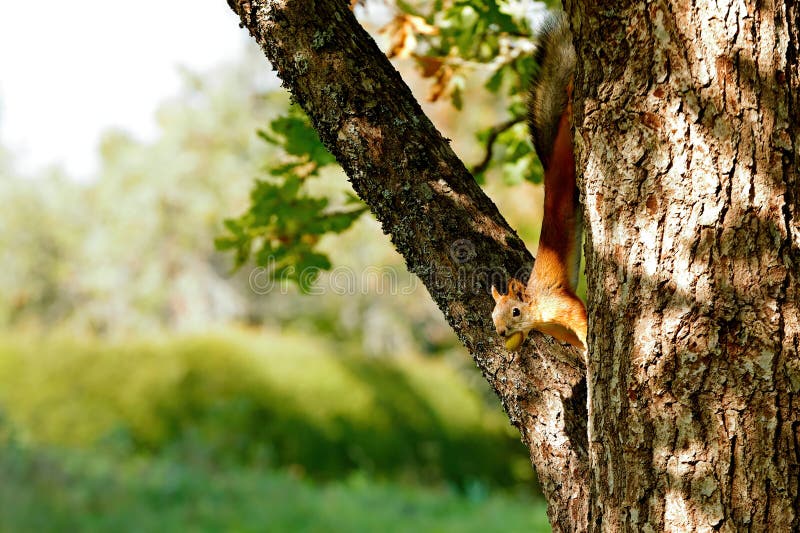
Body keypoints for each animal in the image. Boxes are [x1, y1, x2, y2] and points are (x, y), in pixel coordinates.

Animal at [491, 12, 587, 352]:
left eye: (515, 311)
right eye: (492, 316)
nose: (501, 333)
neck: (540, 316)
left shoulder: (564, 305)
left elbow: (583, 319)